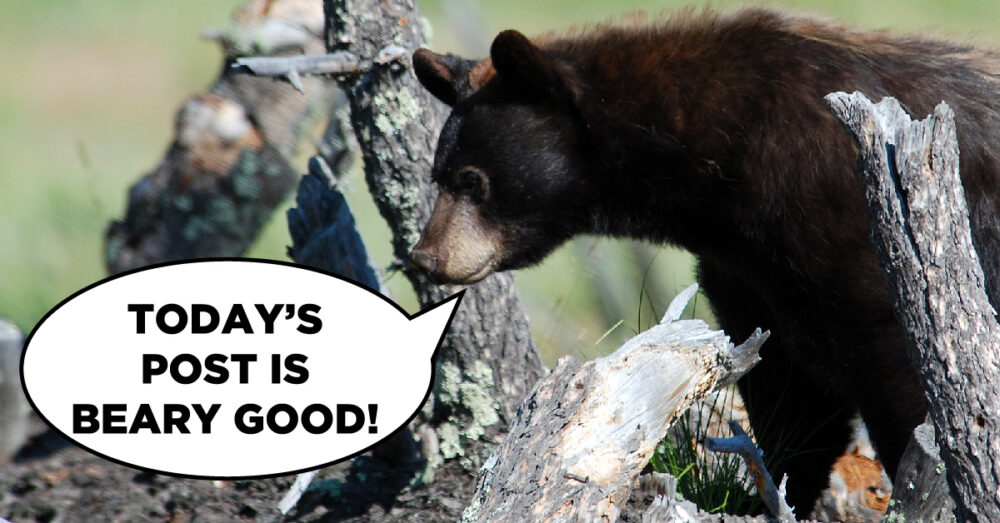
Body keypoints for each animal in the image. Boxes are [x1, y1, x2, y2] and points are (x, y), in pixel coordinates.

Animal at [409, 8, 1000, 515]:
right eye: (439, 176)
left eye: (472, 181)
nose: (426, 257)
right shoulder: (754, 271)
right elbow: (791, 393)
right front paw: (778, 495)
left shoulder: (856, 228)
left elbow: (900, 369)